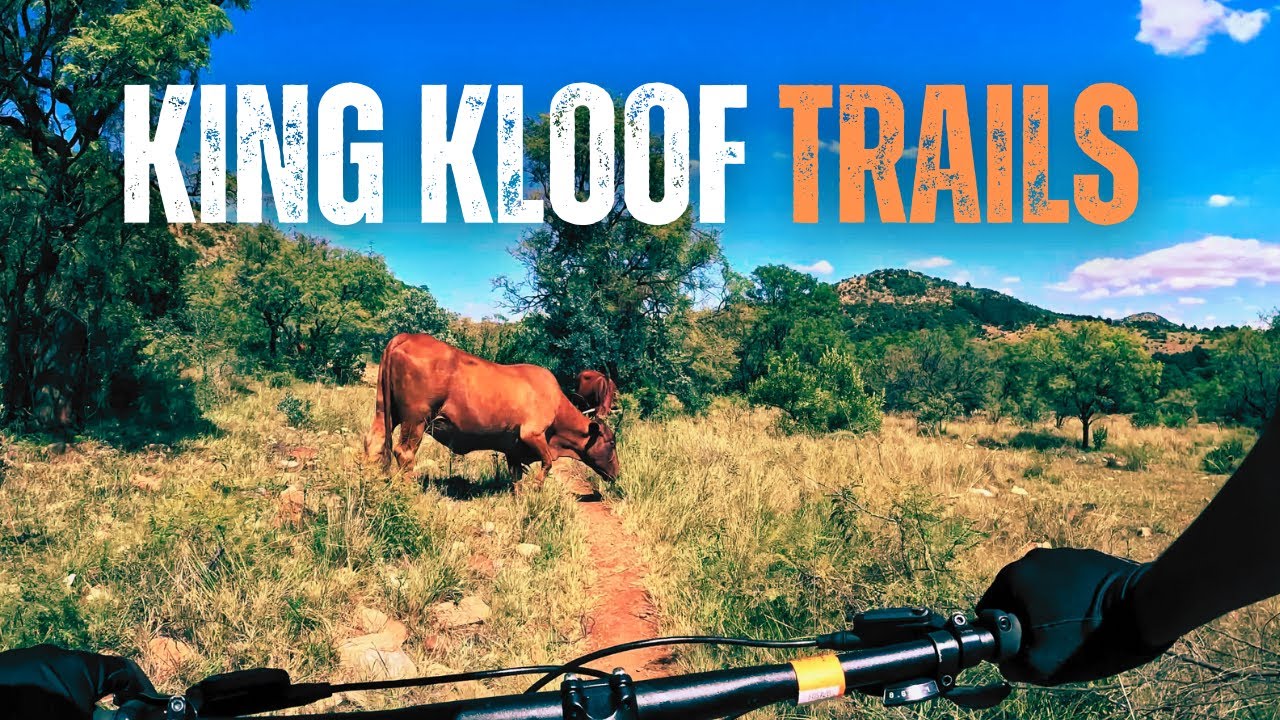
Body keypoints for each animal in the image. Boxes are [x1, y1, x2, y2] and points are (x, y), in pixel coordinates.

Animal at [364, 334, 619, 489]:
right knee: (404, 452)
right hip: (416, 418)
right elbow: (547, 464)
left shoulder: (514, 448)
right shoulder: (533, 433)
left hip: (384, 411)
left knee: (373, 442)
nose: (617, 473)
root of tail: (407, 337)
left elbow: (516, 478)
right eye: (612, 442)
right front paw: (537, 489)